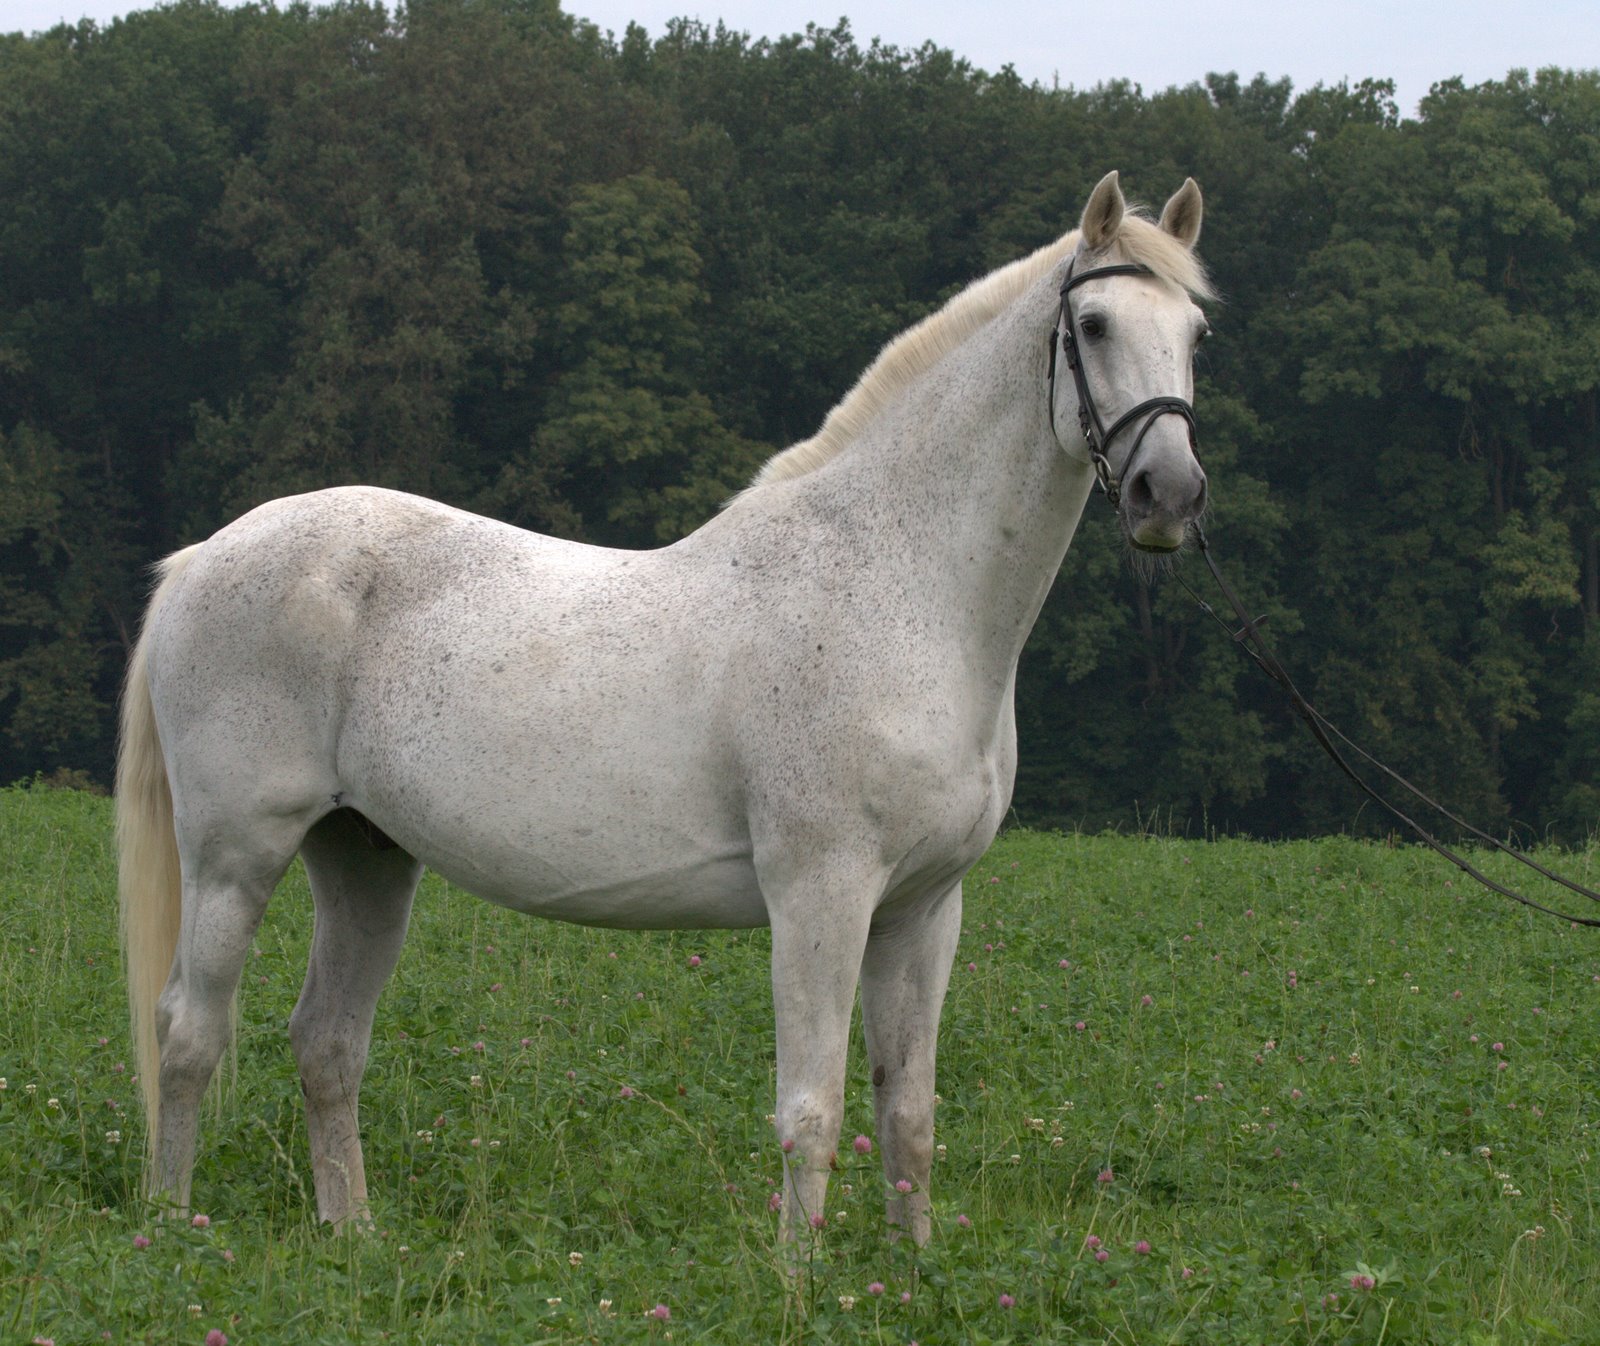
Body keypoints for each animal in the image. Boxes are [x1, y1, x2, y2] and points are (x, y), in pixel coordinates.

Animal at [117, 171, 1215, 1245]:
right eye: (1094, 325)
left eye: (1195, 333)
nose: (1169, 495)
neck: (898, 584)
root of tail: (199, 559)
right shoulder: (820, 894)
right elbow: (810, 1110)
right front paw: (797, 1280)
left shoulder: (923, 908)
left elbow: (907, 1112)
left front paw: (913, 1274)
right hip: (237, 854)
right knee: (188, 1031)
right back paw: (170, 1229)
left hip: (365, 856)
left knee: (328, 1041)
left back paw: (351, 1234)